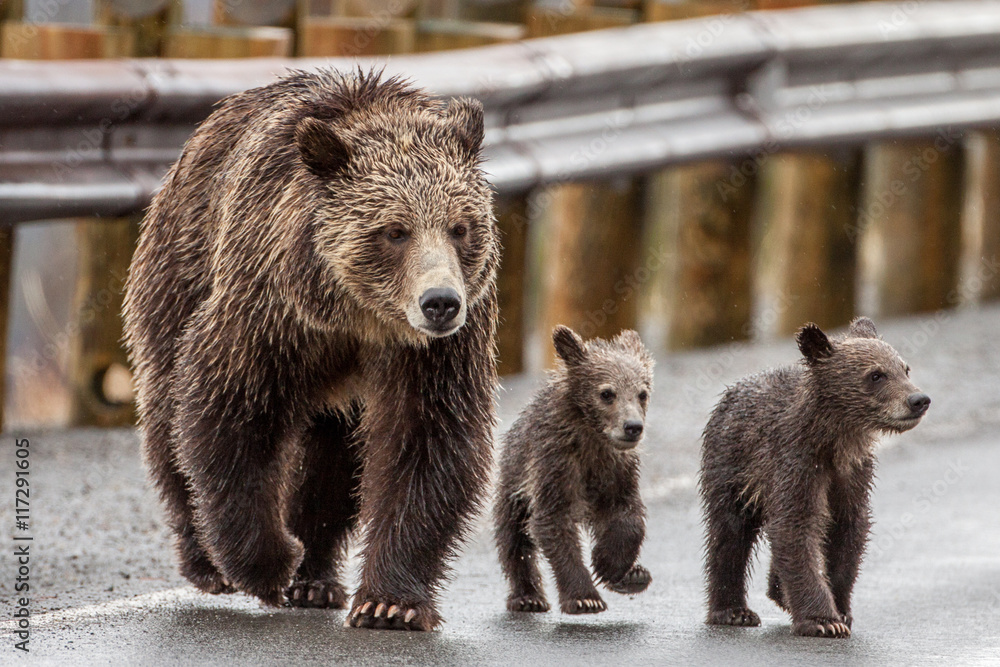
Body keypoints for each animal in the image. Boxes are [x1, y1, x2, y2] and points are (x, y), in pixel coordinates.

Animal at [122, 69, 500, 631]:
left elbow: (426, 440)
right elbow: (229, 416)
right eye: (395, 230)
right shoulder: (272, 313)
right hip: (176, 273)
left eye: (460, 226)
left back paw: (317, 578)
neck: (357, 316)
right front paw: (269, 562)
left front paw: (390, 602)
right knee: (168, 419)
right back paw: (208, 561)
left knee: (332, 462)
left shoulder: (436, 353)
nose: (440, 303)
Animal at [493, 325, 655, 615]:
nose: (633, 427)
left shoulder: (618, 470)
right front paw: (584, 597)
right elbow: (554, 522)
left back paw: (635, 575)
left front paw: (611, 565)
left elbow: (629, 514)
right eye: (607, 393)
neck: (592, 439)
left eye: (642, 393)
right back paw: (527, 596)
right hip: (513, 485)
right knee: (514, 540)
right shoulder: (555, 463)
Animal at [699, 317, 931, 638]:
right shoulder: (795, 464)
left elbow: (847, 529)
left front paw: (840, 610)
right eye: (876, 375)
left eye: (904, 368)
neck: (834, 442)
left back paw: (776, 590)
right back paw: (733, 611)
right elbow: (795, 527)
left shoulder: (852, 475)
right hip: (731, 466)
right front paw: (823, 620)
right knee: (729, 532)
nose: (918, 399)